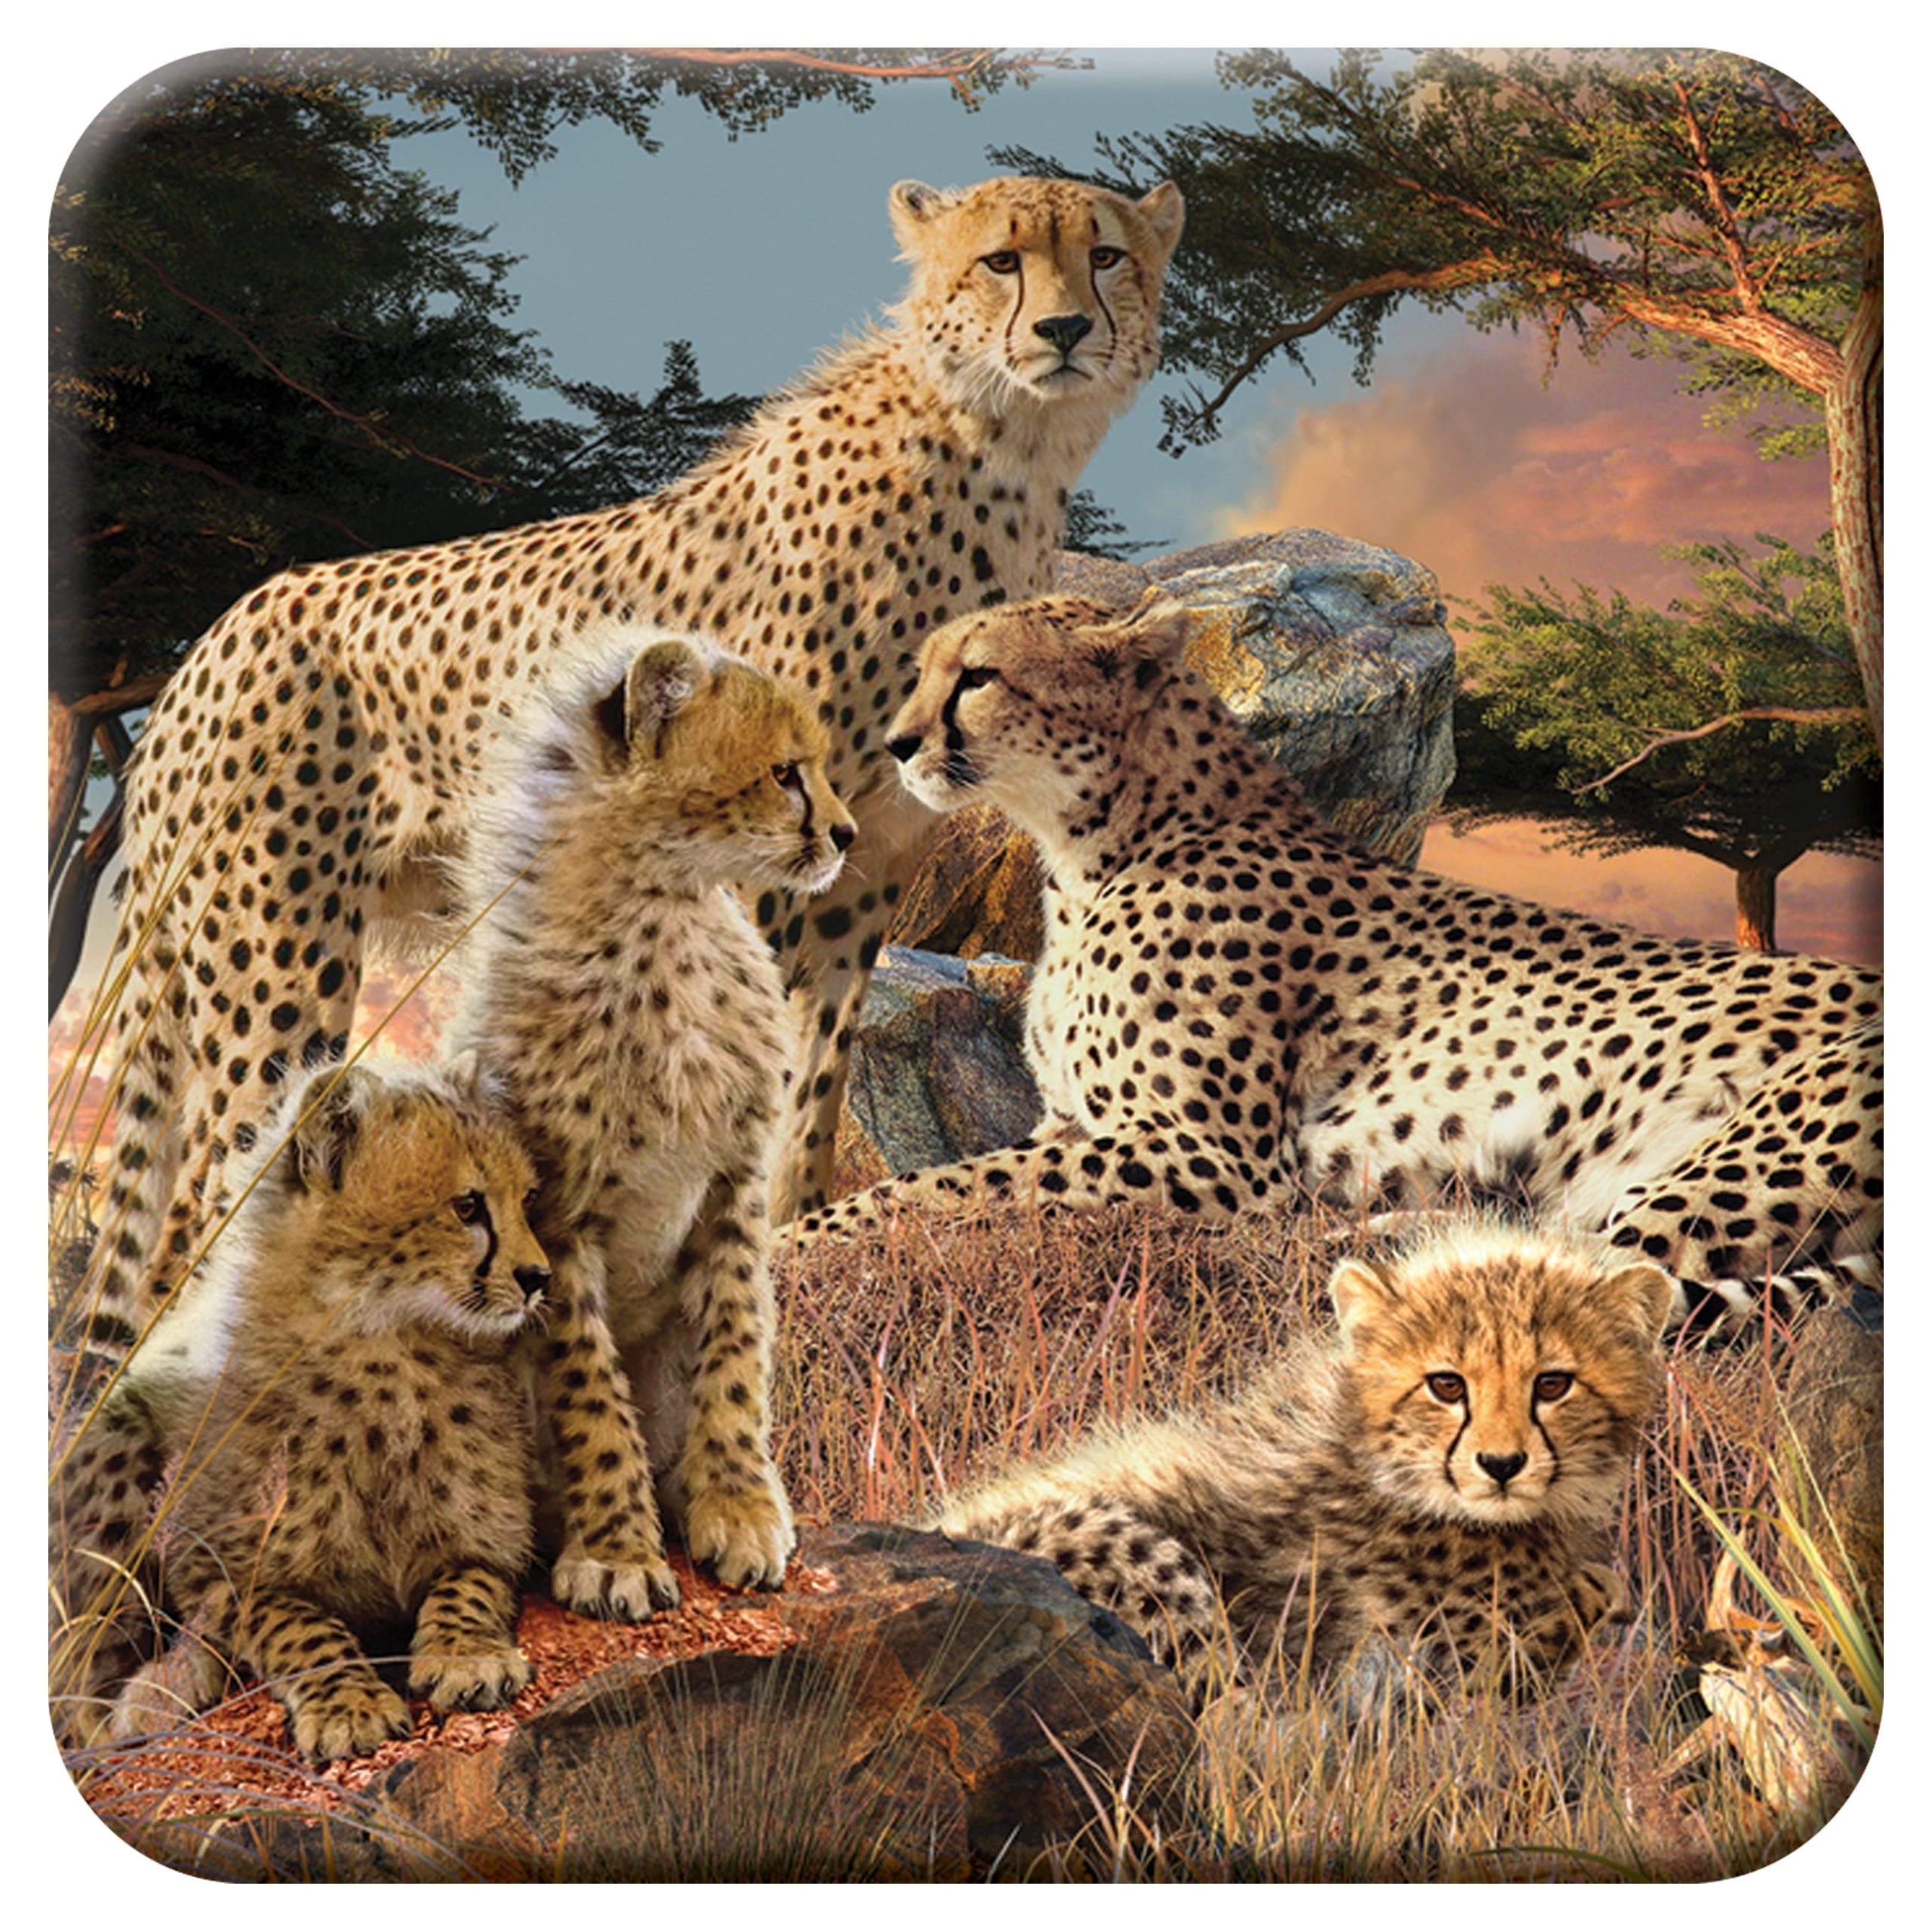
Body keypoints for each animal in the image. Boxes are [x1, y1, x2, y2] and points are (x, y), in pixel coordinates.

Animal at [50, 1055, 552, 1763]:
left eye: (526, 1201)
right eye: (468, 1206)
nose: (541, 1277)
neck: (387, 1349)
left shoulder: (491, 1545)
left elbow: (469, 1583)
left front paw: (467, 1654)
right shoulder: (215, 1569)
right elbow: (294, 1621)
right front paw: (349, 1705)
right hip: (113, 1431)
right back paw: (161, 1687)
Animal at [80, 171, 1185, 1347]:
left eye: (1104, 255)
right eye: (1000, 260)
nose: (1064, 329)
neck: (1000, 442)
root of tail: (211, 638)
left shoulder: (862, 865)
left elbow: (814, 1079)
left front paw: (789, 1236)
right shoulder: (763, 863)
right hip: (276, 964)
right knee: (211, 1198)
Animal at [441, 624, 855, 1619]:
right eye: (784, 773)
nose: (846, 833)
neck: (665, 914)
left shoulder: (735, 1188)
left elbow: (736, 1352)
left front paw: (739, 1510)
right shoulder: (552, 1221)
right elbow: (589, 1385)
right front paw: (617, 1551)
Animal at [799, 595, 1883, 1336]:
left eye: (978, 676)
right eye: (926, 668)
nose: (895, 742)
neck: (1096, 843)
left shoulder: (1210, 1156)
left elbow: (932, 1188)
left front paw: (796, 1245)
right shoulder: (1079, 1123)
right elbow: (954, 1175)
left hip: (1718, 1171)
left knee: (1601, 1277)